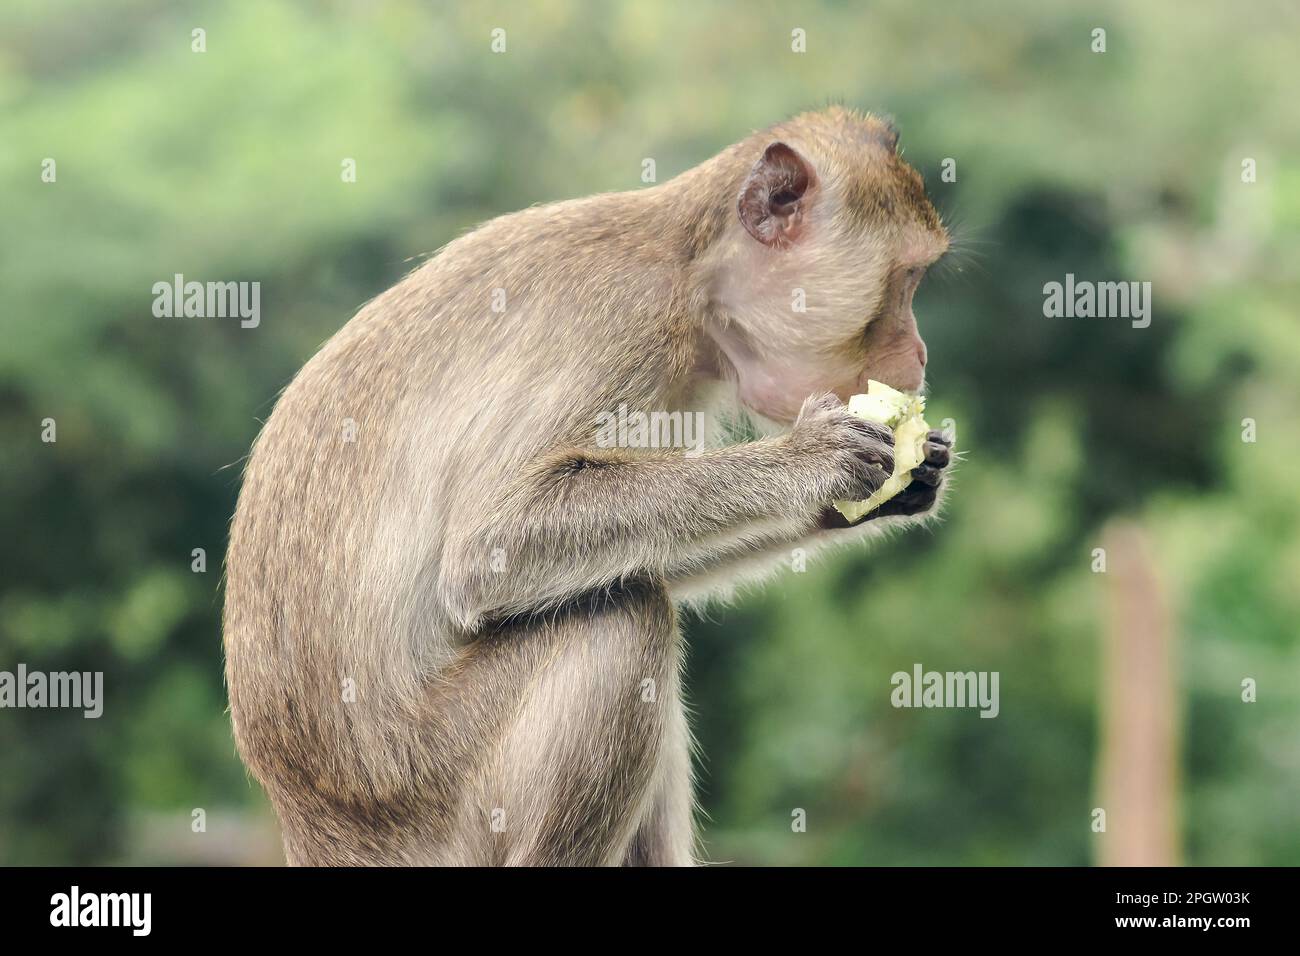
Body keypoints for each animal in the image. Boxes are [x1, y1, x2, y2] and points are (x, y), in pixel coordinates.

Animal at [223, 106, 953, 866]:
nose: (920, 355)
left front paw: (889, 485)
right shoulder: (628, 323)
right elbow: (488, 546)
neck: (691, 275)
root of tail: (315, 829)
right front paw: (813, 461)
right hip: (436, 795)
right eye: (906, 279)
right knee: (623, 619)